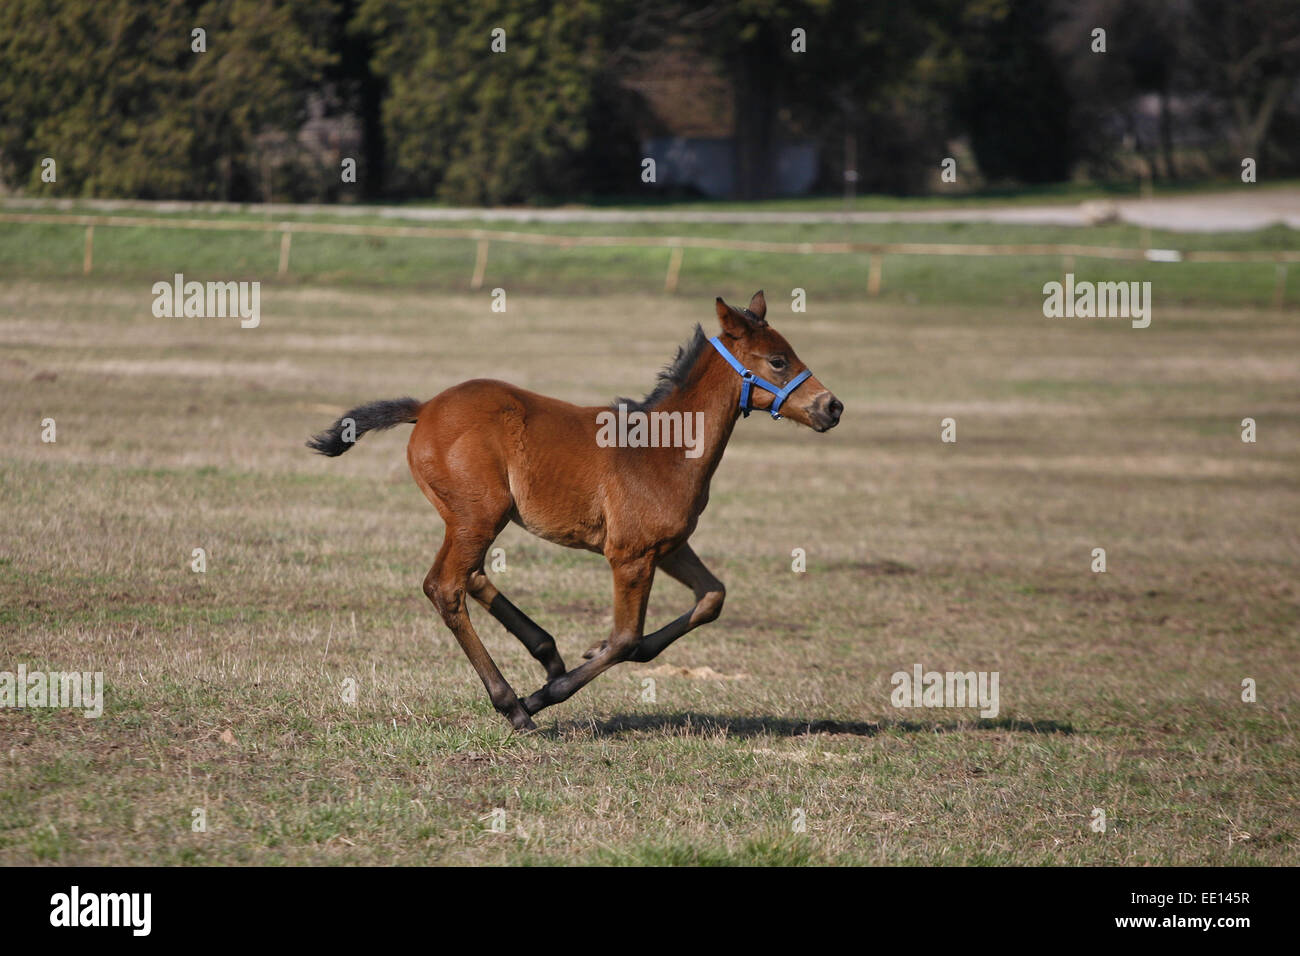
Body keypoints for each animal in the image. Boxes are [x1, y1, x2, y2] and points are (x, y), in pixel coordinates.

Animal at [308, 291, 842, 730]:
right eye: (777, 360)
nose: (832, 407)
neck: (662, 449)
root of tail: (425, 408)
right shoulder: (631, 555)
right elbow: (627, 638)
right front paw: (545, 695)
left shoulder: (669, 546)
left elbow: (711, 598)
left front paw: (586, 651)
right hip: (479, 514)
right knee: (445, 586)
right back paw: (514, 704)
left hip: (470, 517)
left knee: (470, 576)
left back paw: (547, 653)